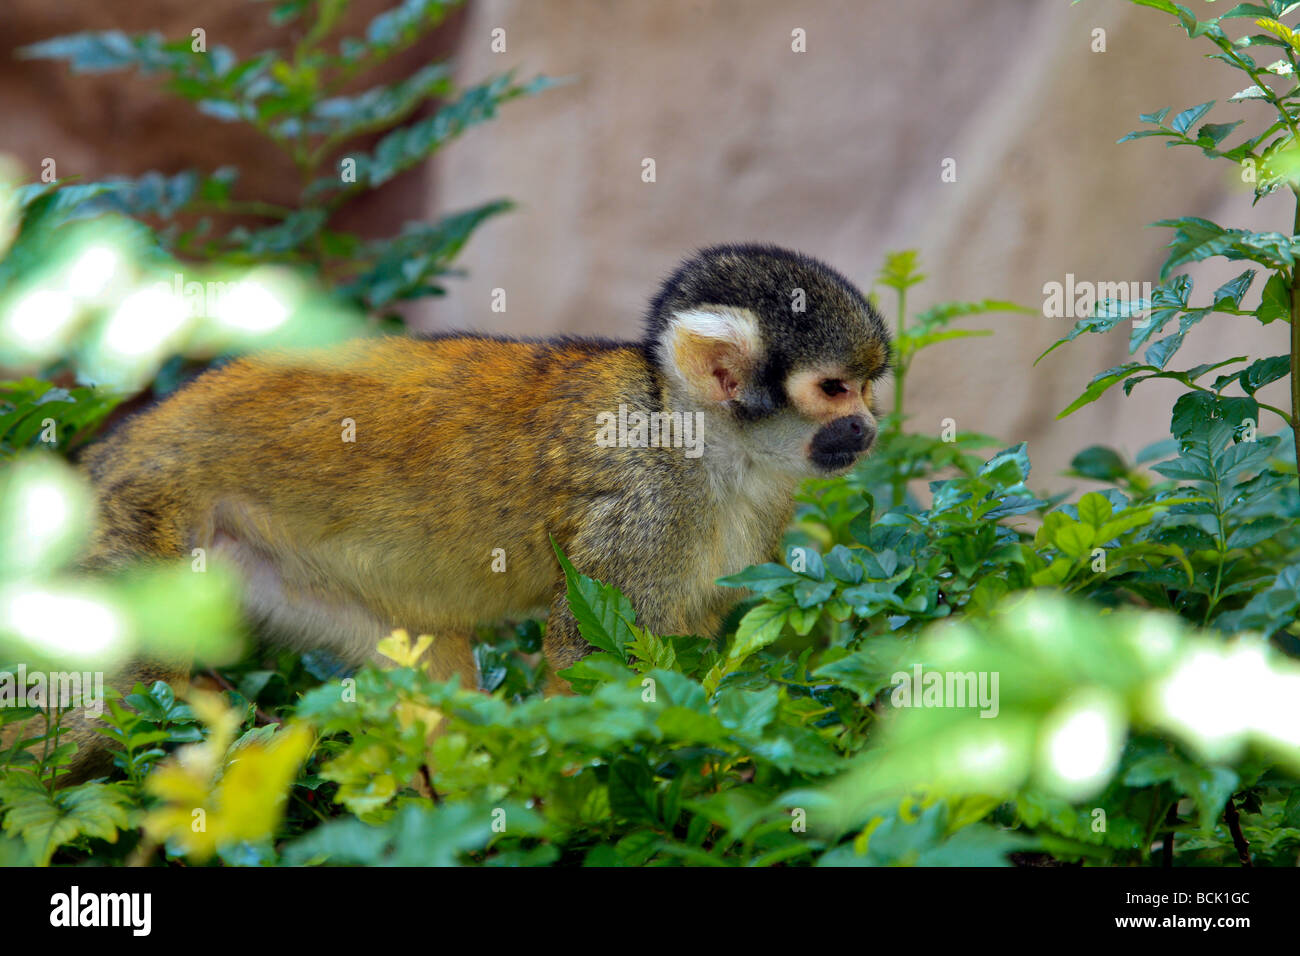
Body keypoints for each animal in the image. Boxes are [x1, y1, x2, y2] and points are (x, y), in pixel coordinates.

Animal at [10, 243, 891, 779]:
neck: (701, 438)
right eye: (835, 389)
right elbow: (593, 662)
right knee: (108, 704)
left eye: (867, 386)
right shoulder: (642, 511)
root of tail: (116, 451)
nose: (869, 426)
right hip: (139, 531)